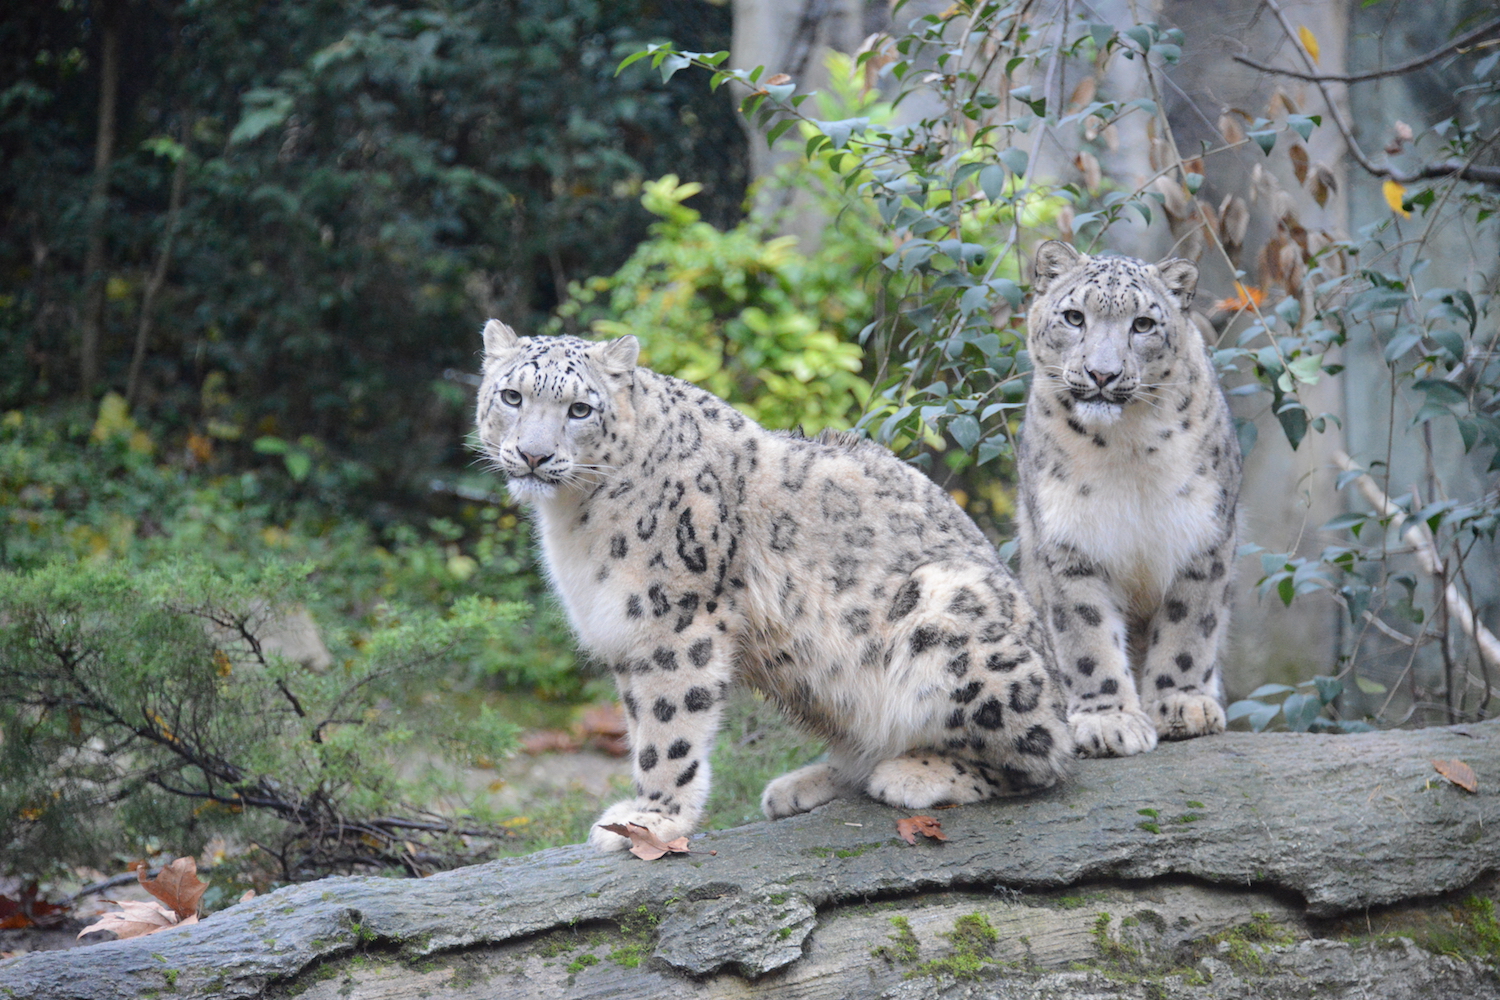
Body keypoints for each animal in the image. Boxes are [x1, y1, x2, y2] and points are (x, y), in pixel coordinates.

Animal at [473, 320, 1073, 851]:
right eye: (511, 396)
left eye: (580, 408)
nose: (532, 454)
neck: (574, 521)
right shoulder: (625, 626)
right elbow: (641, 719)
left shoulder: (675, 619)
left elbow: (667, 725)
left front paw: (653, 819)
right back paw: (807, 783)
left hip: (945, 615)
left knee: (1043, 758)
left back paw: (914, 774)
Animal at [1015, 241, 1241, 758]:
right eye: (1074, 316)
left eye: (1142, 324)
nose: (1102, 373)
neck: (1125, 449)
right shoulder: (1067, 543)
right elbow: (1086, 636)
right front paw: (1108, 721)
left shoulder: (1204, 535)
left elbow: (1189, 624)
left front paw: (1182, 704)